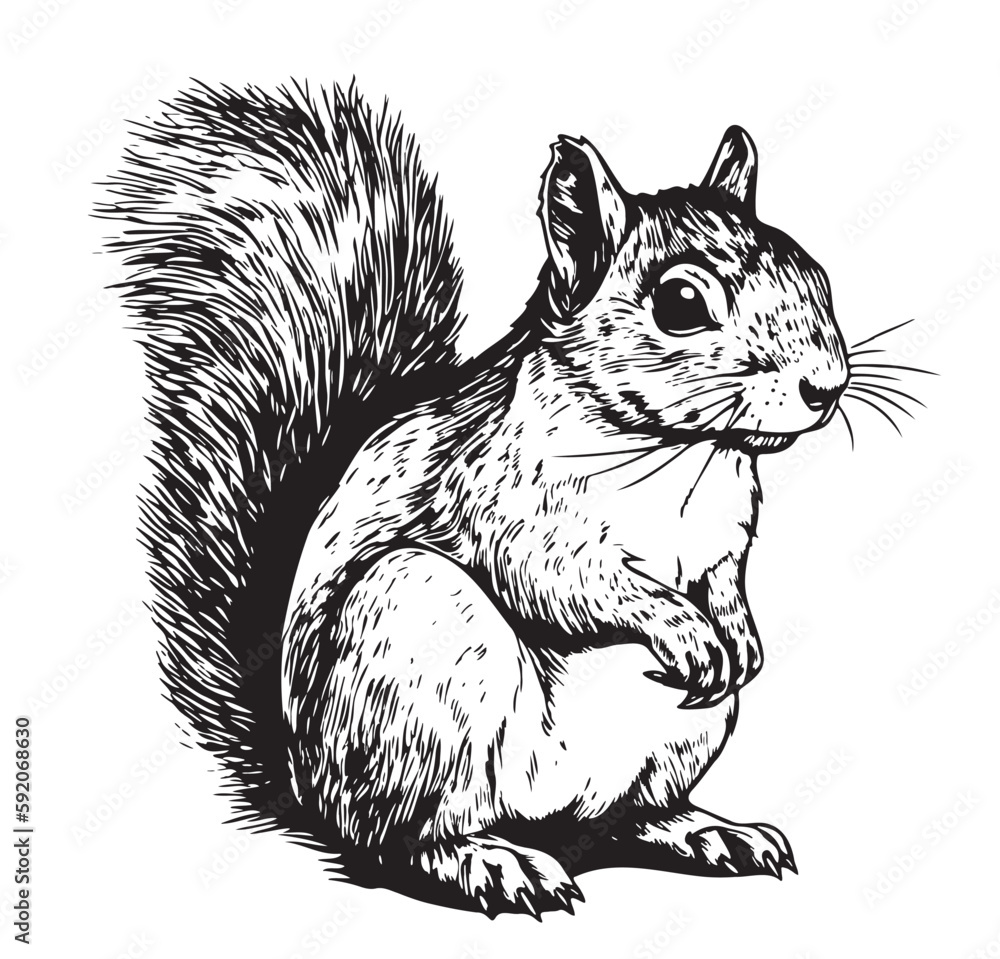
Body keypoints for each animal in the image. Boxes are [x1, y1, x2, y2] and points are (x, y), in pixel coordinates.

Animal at [97, 80, 852, 918]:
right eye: (681, 302)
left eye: (814, 274)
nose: (826, 385)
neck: (680, 455)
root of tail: (306, 780)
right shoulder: (505, 501)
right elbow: (565, 582)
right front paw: (683, 628)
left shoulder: (724, 536)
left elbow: (723, 579)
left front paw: (740, 634)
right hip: (416, 644)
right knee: (396, 839)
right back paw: (489, 861)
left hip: (676, 740)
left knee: (625, 817)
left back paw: (706, 831)